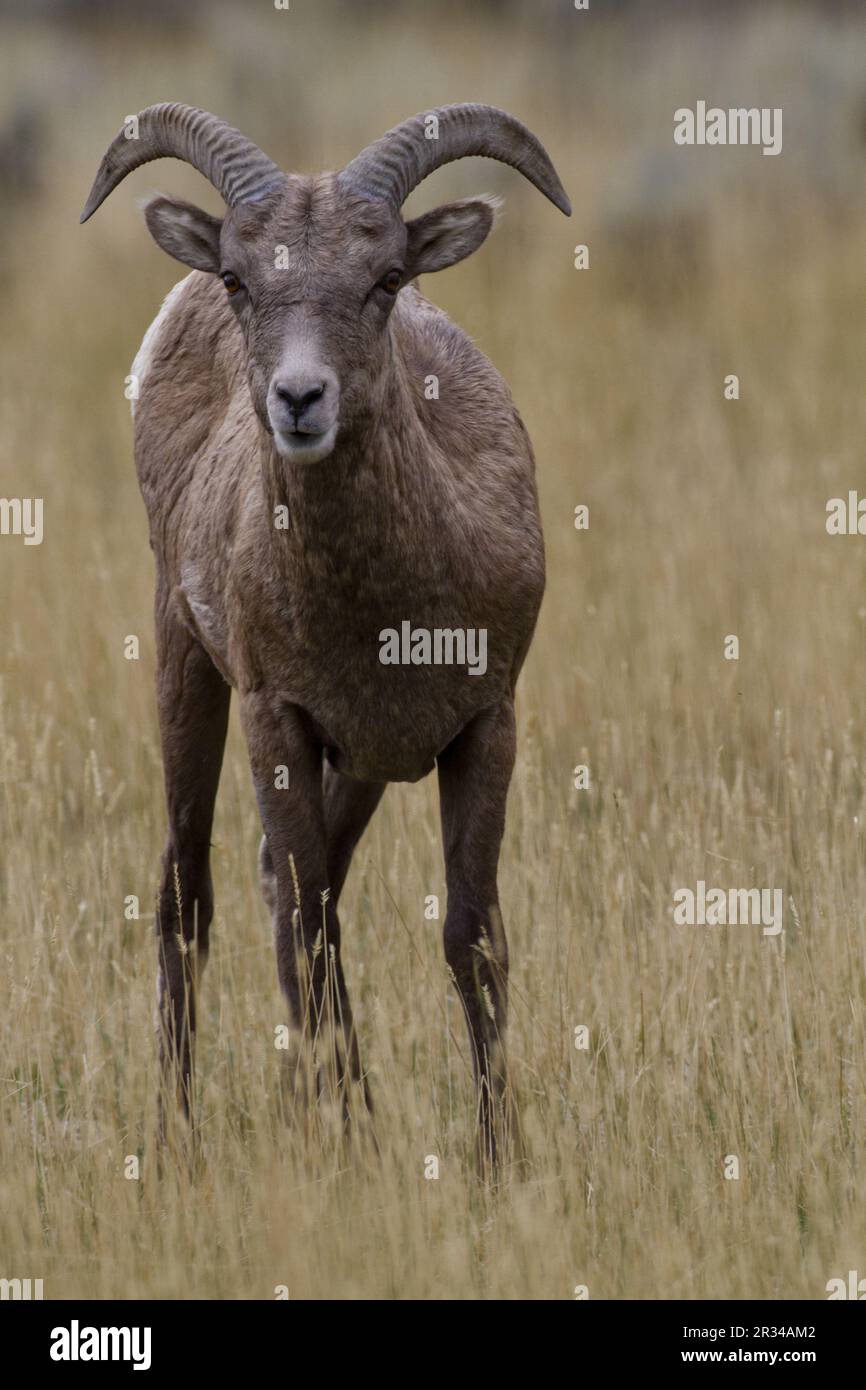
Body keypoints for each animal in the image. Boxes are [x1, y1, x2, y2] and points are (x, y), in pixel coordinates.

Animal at [82, 102, 570, 1166]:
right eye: (240, 277)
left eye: (386, 278)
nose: (300, 401)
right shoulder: (279, 722)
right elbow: (310, 931)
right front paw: (348, 1148)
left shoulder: (482, 728)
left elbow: (470, 938)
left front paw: (497, 1160)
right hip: (188, 669)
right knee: (193, 898)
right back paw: (182, 1136)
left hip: (359, 770)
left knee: (291, 893)